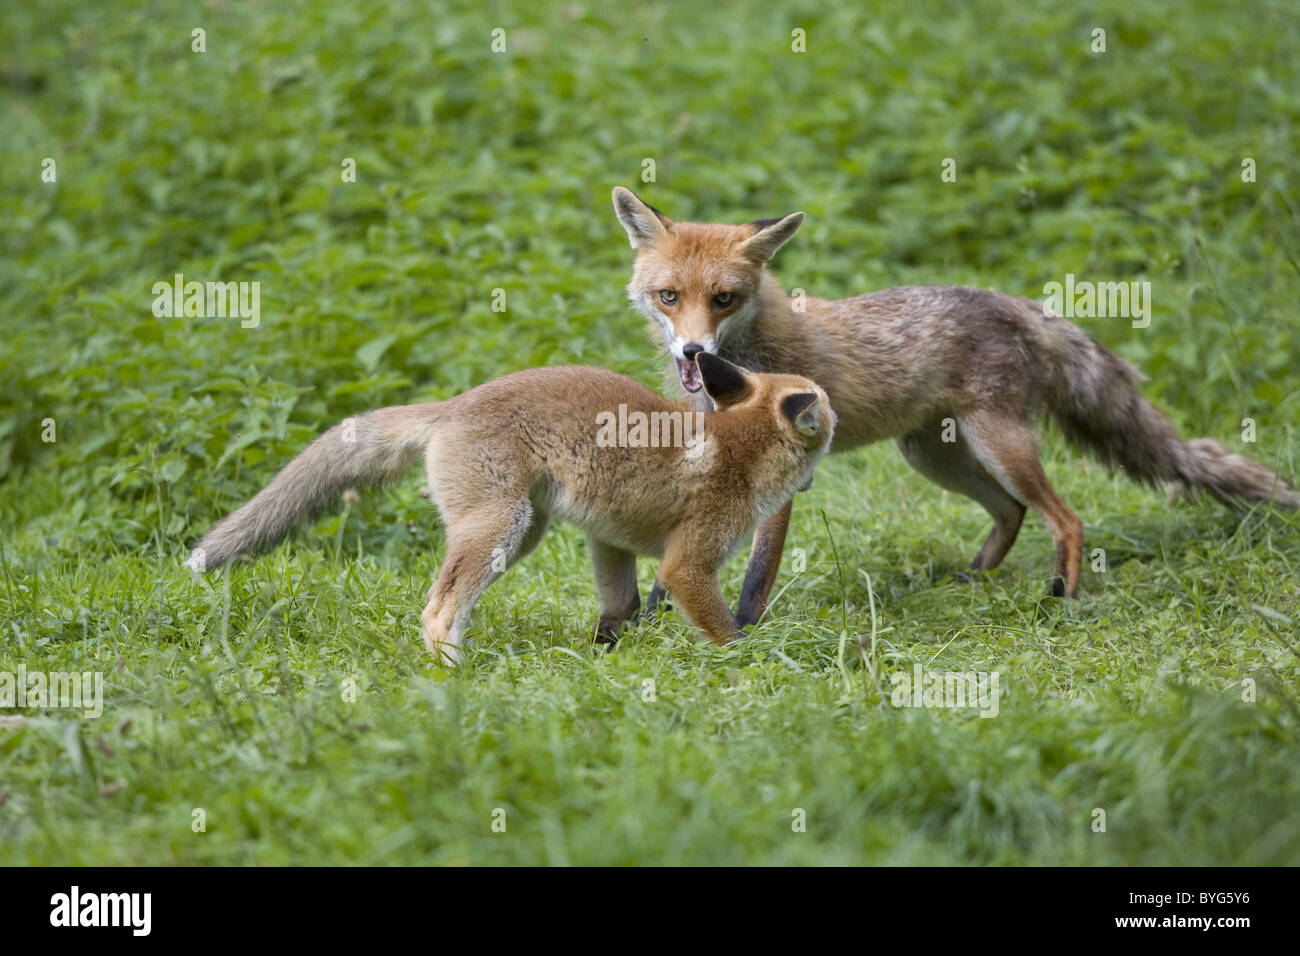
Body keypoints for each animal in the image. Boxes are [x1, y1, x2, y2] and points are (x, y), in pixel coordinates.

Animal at [188, 356, 833, 663]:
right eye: (826, 407)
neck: (740, 448)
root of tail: (452, 405)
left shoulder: (610, 536)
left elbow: (619, 607)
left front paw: (604, 659)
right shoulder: (689, 563)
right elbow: (726, 630)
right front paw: (756, 664)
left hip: (523, 530)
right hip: (502, 525)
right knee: (437, 610)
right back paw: (455, 674)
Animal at [611, 186, 1298, 623]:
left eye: (723, 299)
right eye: (670, 296)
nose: (694, 351)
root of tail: (1014, 302)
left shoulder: (783, 478)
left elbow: (757, 573)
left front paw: (745, 632)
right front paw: (647, 627)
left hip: (999, 442)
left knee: (1065, 518)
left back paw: (1060, 599)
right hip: (934, 456)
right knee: (1013, 512)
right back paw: (974, 580)